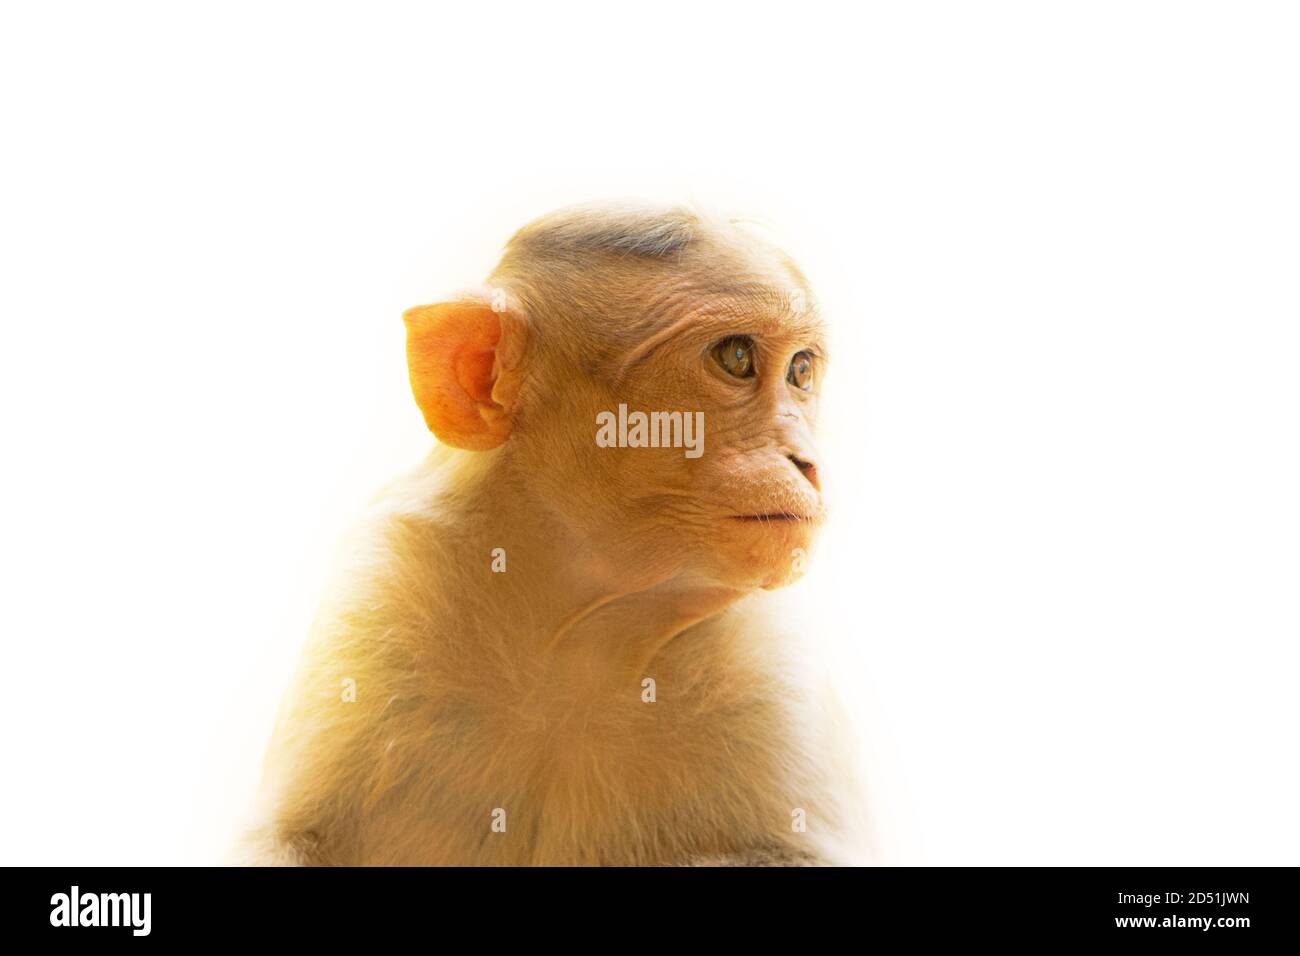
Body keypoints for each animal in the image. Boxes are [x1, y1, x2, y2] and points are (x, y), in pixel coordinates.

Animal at [237, 203, 872, 866]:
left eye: (800, 369)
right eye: (736, 358)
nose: (808, 462)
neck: (583, 627)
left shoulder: (771, 661)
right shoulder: (383, 583)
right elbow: (294, 840)